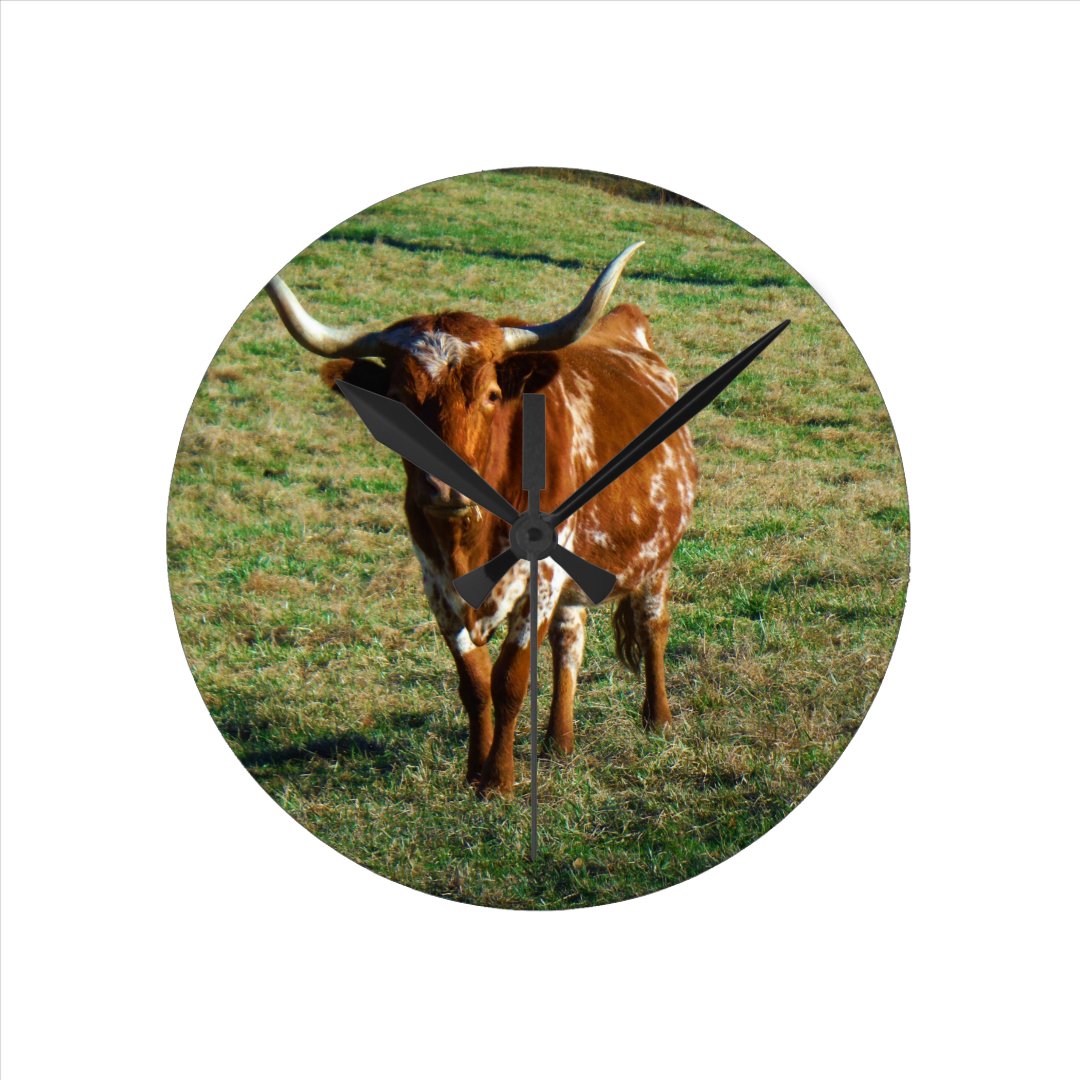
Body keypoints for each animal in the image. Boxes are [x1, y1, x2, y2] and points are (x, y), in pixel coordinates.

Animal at [265, 244, 697, 796]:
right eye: (398, 400)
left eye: (491, 394)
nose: (444, 488)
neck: (471, 535)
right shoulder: (438, 586)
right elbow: (473, 683)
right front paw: (474, 771)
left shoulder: (540, 582)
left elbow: (509, 680)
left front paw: (499, 781)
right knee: (569, 641)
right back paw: (559, 741)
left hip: (656, 557)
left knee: (652, 625)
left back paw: (656, 718)